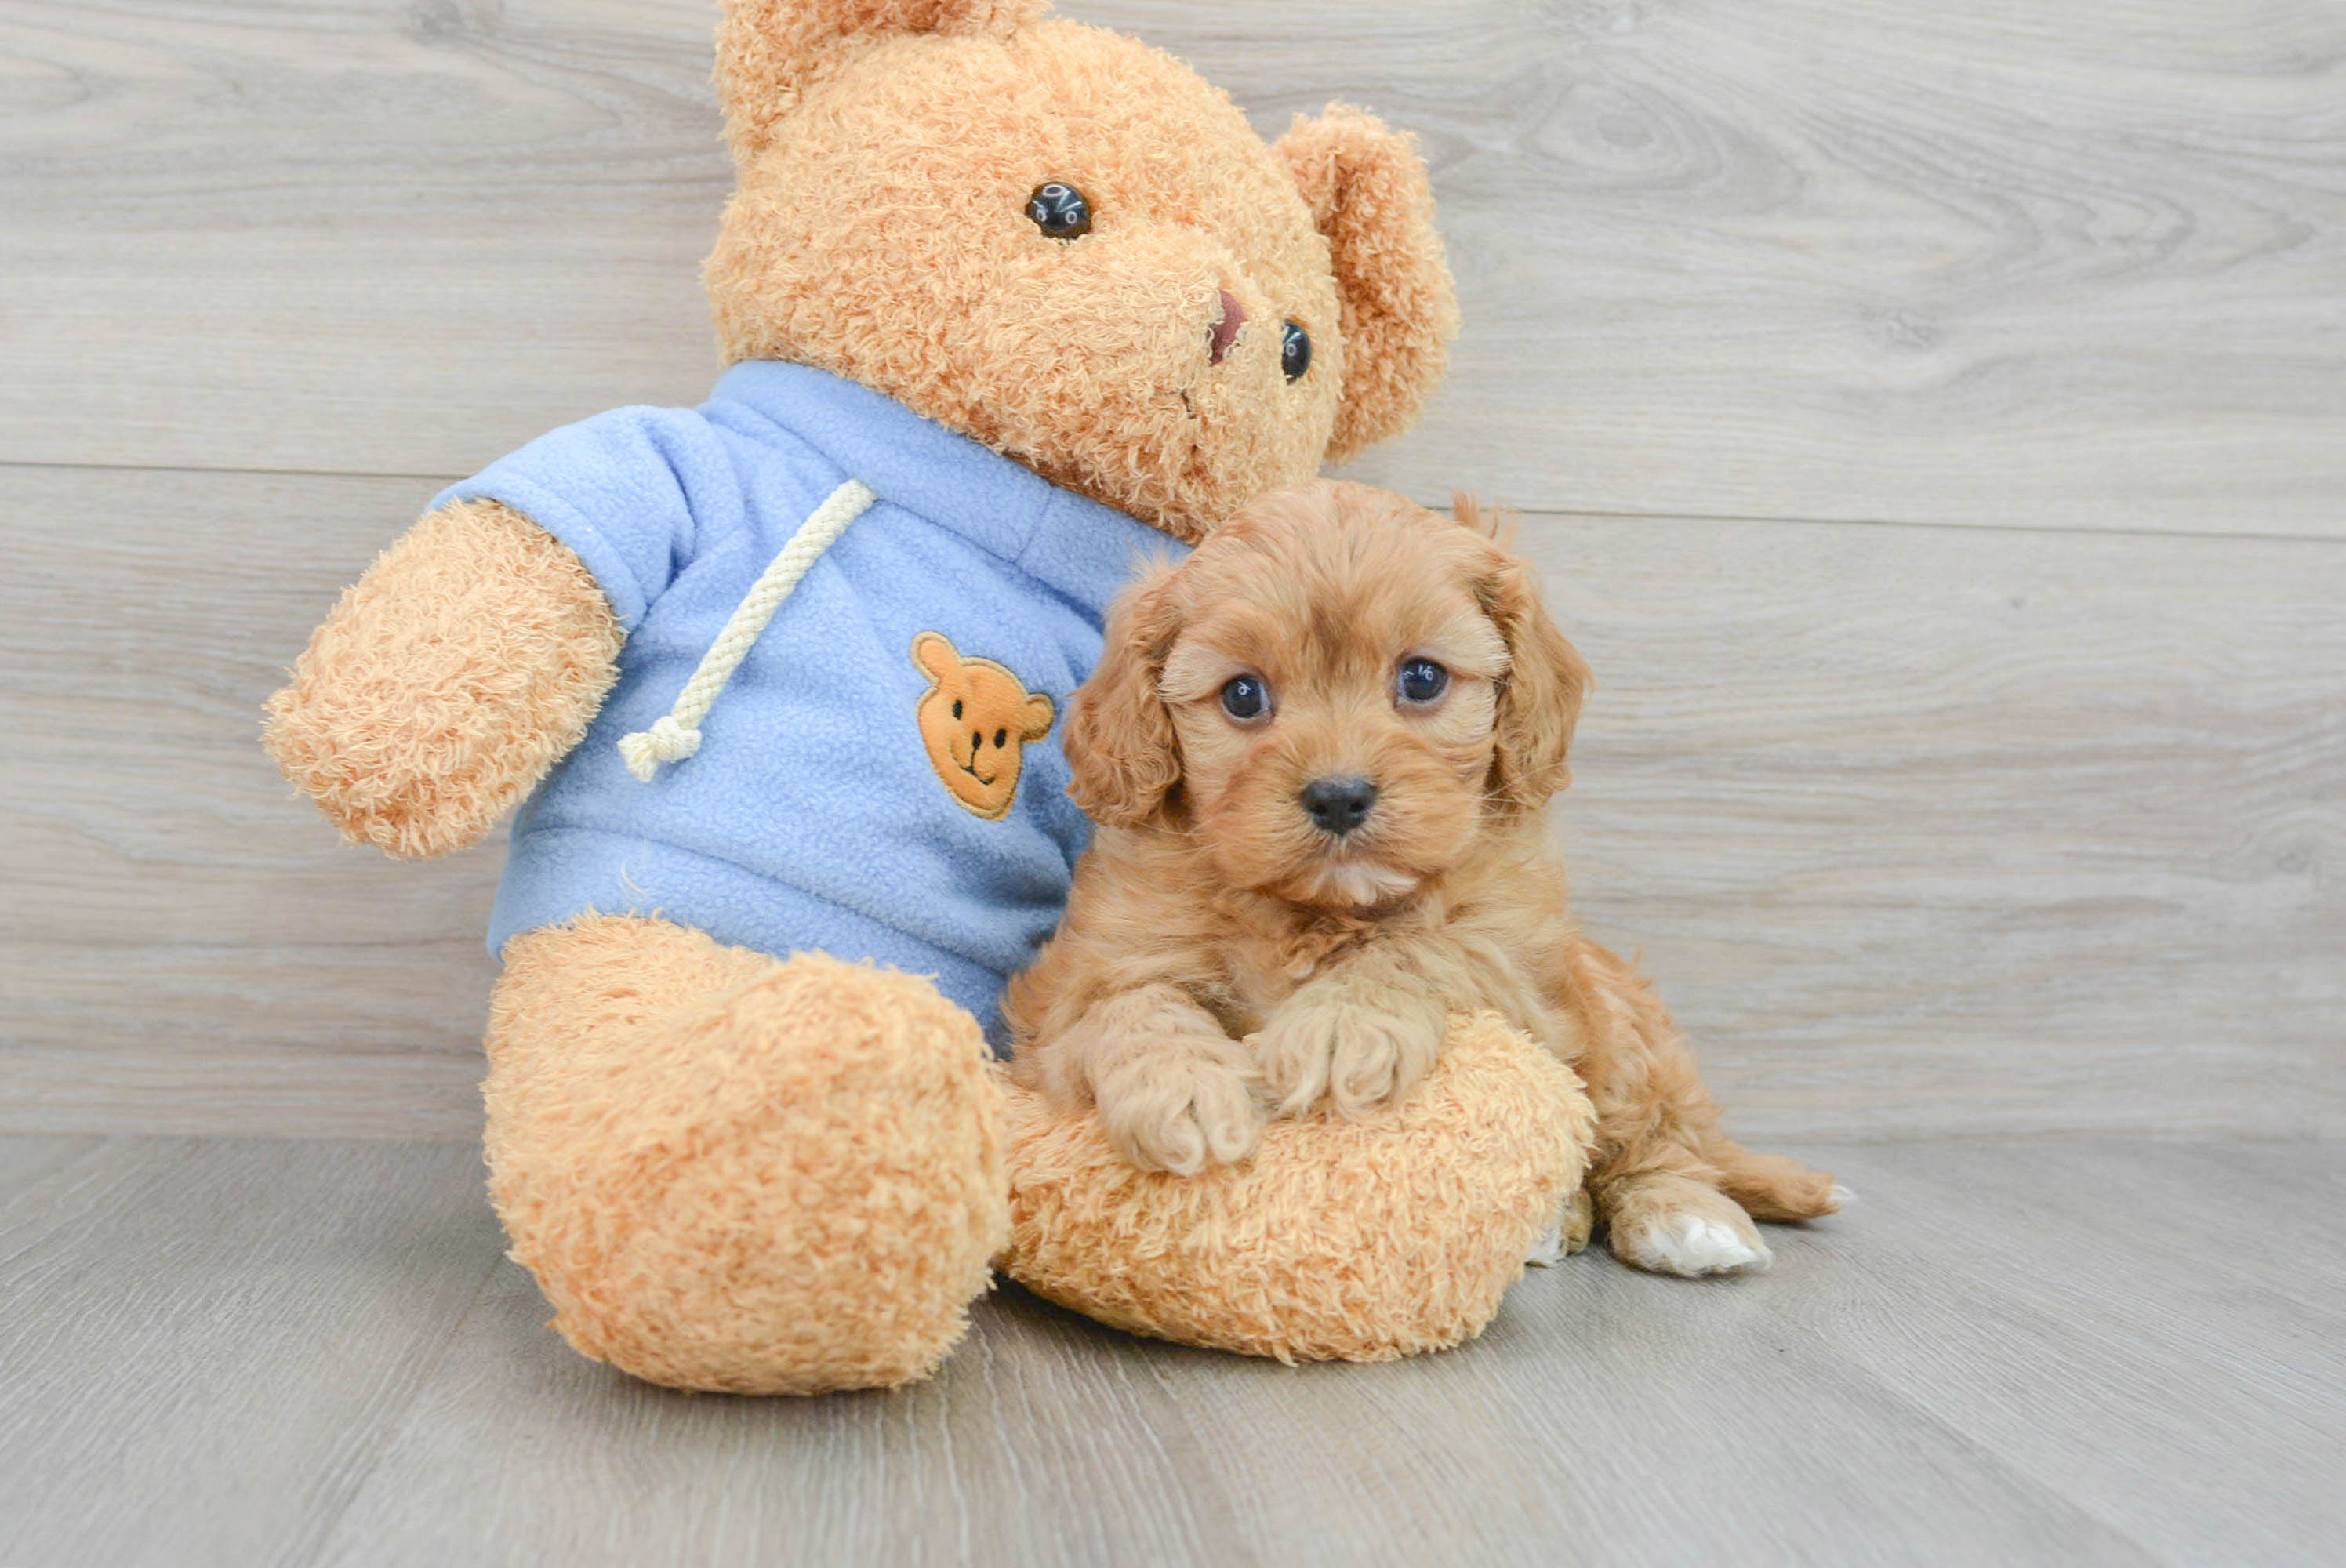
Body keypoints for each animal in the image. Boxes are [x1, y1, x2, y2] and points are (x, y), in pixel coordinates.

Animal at [1005, 479, 1842, 1276]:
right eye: (1243, 694)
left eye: (1423, 678)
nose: (1339, 796)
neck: (1322, 909)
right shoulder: (1077, 987)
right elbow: (1127, 1006)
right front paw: (1183, 1086)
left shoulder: (1509, 950)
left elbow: (1414, 946)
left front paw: (1339, 1026)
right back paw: (1554, 1226)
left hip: (1622, 1021)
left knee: (1655, 1139)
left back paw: (1684, 1217)